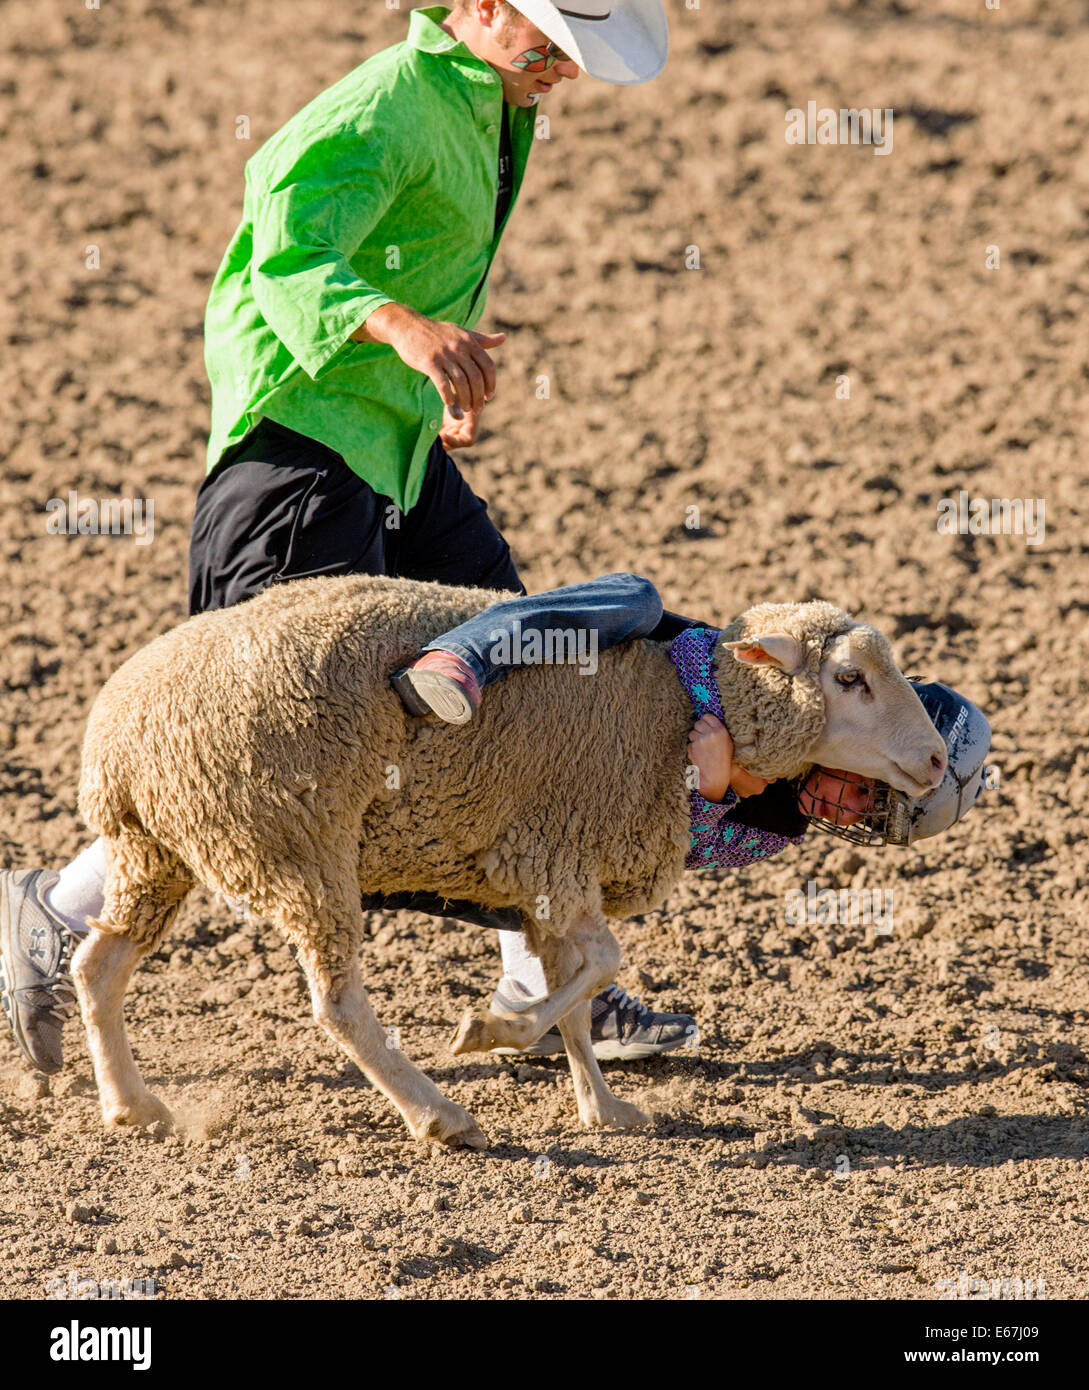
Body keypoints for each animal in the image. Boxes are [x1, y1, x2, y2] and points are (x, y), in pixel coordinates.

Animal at [71, 574, 947, 1149]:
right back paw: (439, 1116)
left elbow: (577, 996)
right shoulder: (556, 855)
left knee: (99, 967)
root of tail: (119, 736)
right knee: (340, 1007)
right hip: (296, 847)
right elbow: (600, 963)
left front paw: (602, 1107)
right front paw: (488, 1028)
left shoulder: (552, 874)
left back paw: (132, 1106)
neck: (681, 705)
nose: (938, 759)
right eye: (848, 678)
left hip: (154, 853)